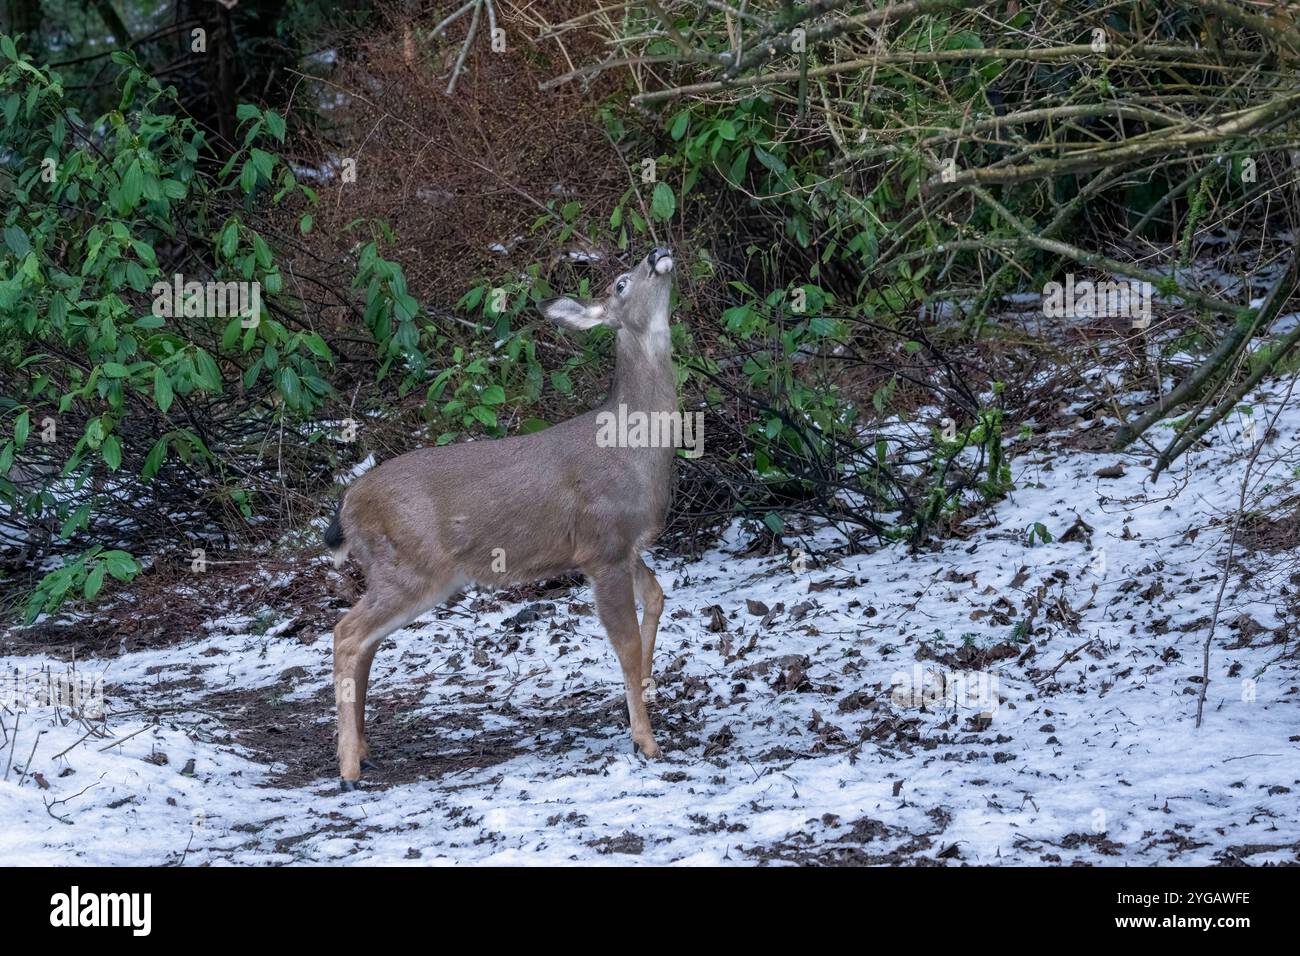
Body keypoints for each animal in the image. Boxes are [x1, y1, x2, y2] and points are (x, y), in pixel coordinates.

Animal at [323, 247, 679, 789]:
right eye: (621, 283)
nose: (658, 252)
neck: (632, 447)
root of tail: (347, 506)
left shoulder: (625, 544)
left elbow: (655, 599)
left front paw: (646, 698)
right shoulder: (602, 545)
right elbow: (626, 643)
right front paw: (646, 741)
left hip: (399, 571)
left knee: (365, 642)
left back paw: (364, 750)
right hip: (411, 566)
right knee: (347, 634)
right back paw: (348, 769)